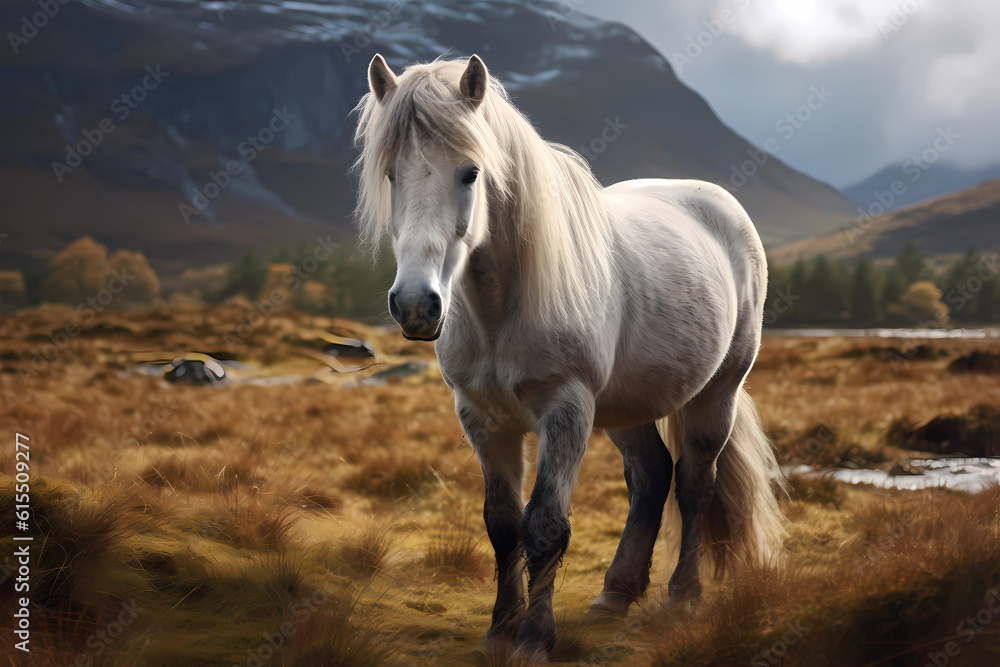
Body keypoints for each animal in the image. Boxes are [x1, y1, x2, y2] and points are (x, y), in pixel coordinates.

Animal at [353, 54, 786, 663]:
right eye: (392, 174)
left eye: (471, 173)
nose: (416, 304)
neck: (501, 308)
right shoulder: (483, 418)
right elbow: (503, 524)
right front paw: (499, 631)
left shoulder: (566, 409)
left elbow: (545, 527)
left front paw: (535, 638)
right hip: (627, 407)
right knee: (651, 476)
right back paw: (615, 595)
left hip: (715, 393)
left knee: (694, 483)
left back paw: (683, 596)